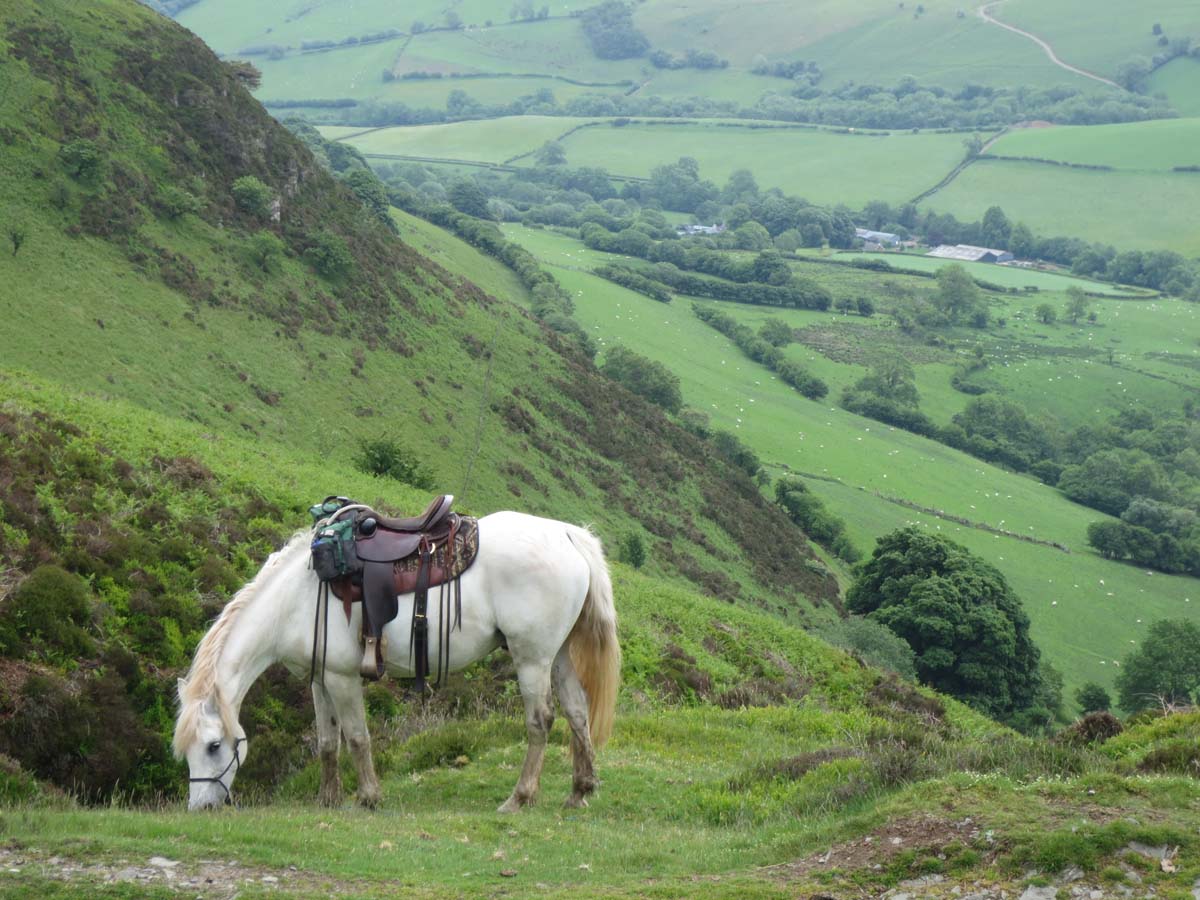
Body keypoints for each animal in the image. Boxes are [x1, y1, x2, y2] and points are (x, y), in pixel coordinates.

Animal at [173, 511, 621, 813]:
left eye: (214, 745)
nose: (201, 807)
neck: (297, 597)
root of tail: (567, 534)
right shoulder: (319, 680)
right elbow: (327, 742)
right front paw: (328, 799)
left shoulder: (342, 677)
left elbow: (357, 737)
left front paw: (368, 797)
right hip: (556, 654)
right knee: (577, 710)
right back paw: (580, 790)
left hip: (532, 658)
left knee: (541, 719)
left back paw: (520, 797)